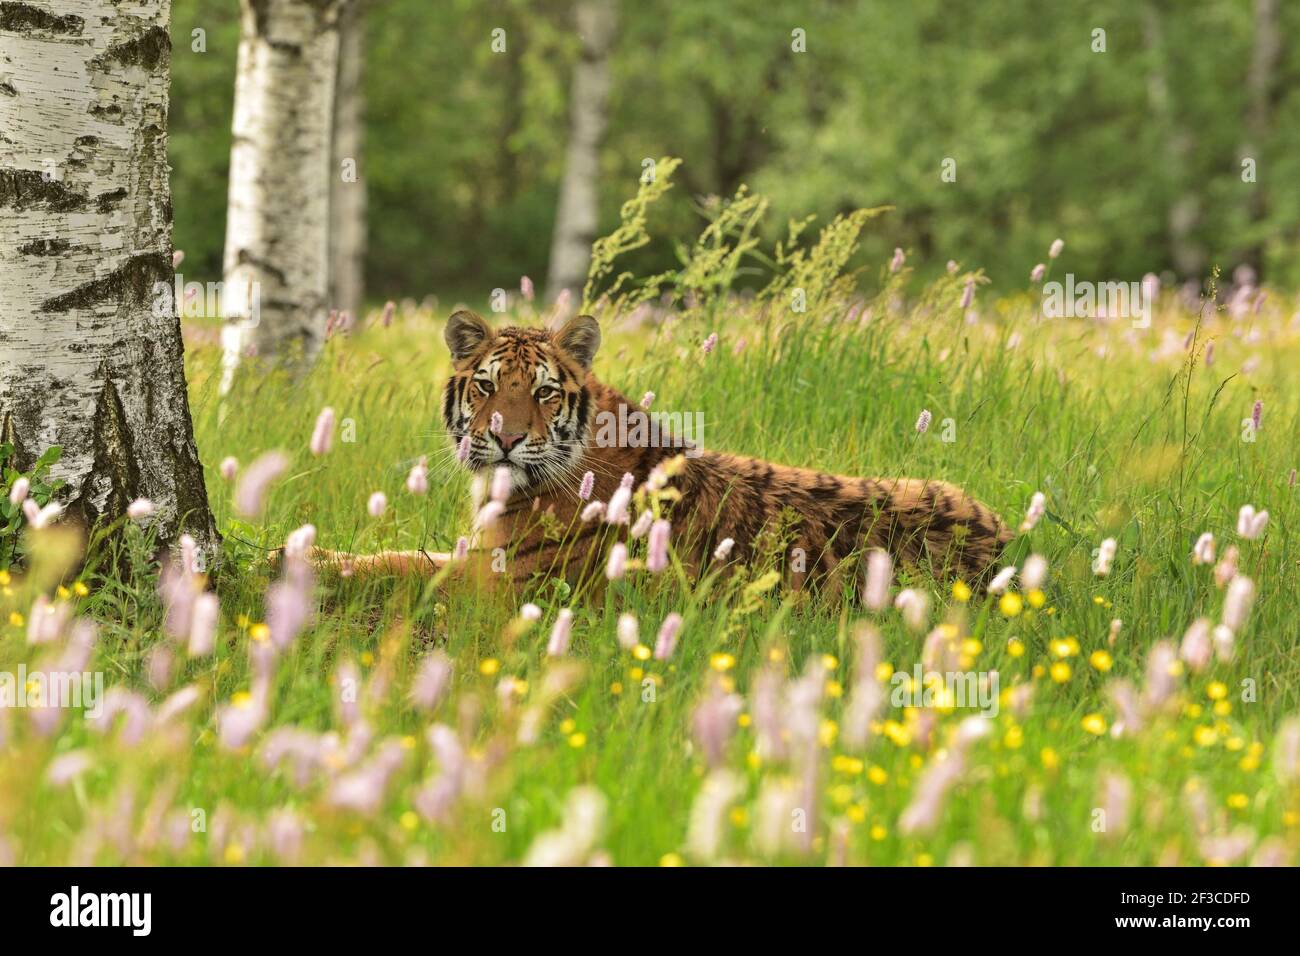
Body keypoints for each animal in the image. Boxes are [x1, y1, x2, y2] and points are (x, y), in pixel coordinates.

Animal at [312, 310, 1014, 594]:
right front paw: (308, 549)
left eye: (542, 392)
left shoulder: (506, 583)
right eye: (487, 386)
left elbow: (404, 571)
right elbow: (402, 555)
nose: (506, 437)